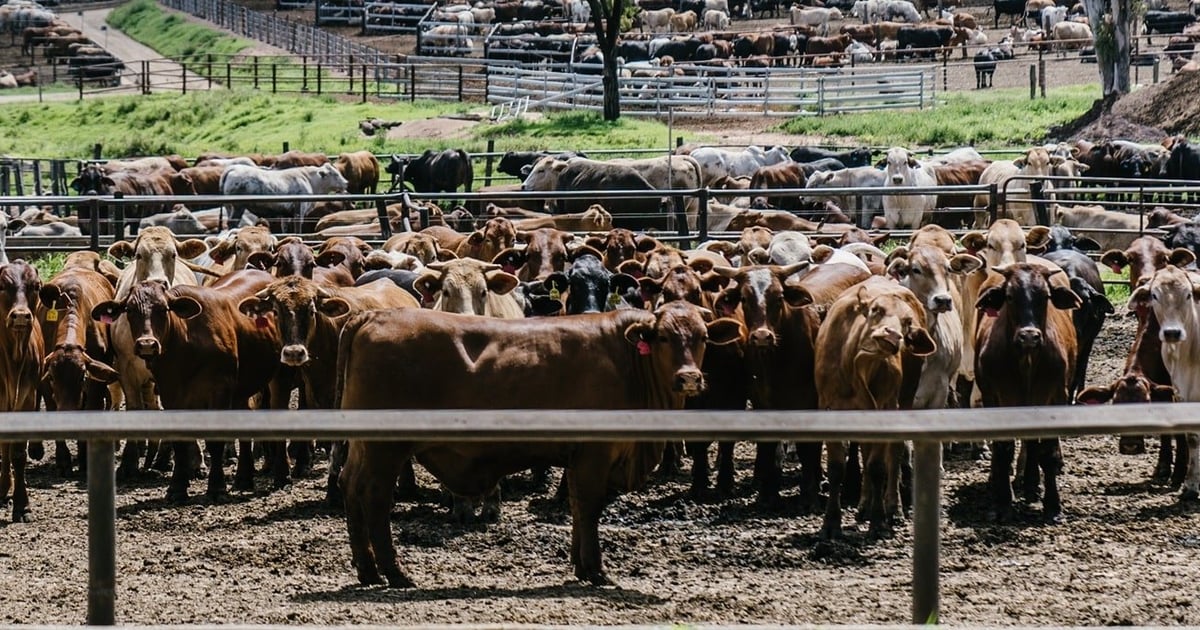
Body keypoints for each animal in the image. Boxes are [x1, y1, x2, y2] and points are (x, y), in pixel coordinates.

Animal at [220, 164, 349, 230]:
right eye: (335, 174)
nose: (346, 182)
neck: (309, 181)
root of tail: (233, 168)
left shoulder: (285, 213)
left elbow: (285, 228)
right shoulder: (299, 210)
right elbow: (297, 228)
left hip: (230, 206)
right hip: (239, 206)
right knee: (232, 223)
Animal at [337, 301, 742, 586]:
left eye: (703, 337)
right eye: (663, 337)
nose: (689, 378)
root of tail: (373, 316)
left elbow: (578, 507)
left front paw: (580, 565)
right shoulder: (596, 454)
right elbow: (589, 506)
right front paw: (595, 570)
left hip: (363, 447)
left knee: (350, 487)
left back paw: (368, 570)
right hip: (385, 449)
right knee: (374, 497)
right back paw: (394, 572)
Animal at [975, 264, 1080, 521]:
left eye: (1045, 297)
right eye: (1010, 296)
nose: (1029, 336)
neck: (1027, 360)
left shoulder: (1055, 397)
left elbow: (1048, 451)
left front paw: (1053, 505)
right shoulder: (998, 398)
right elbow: (1004, 448)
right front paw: (1003, 502)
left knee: (1033, 444)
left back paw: (1032, 485)